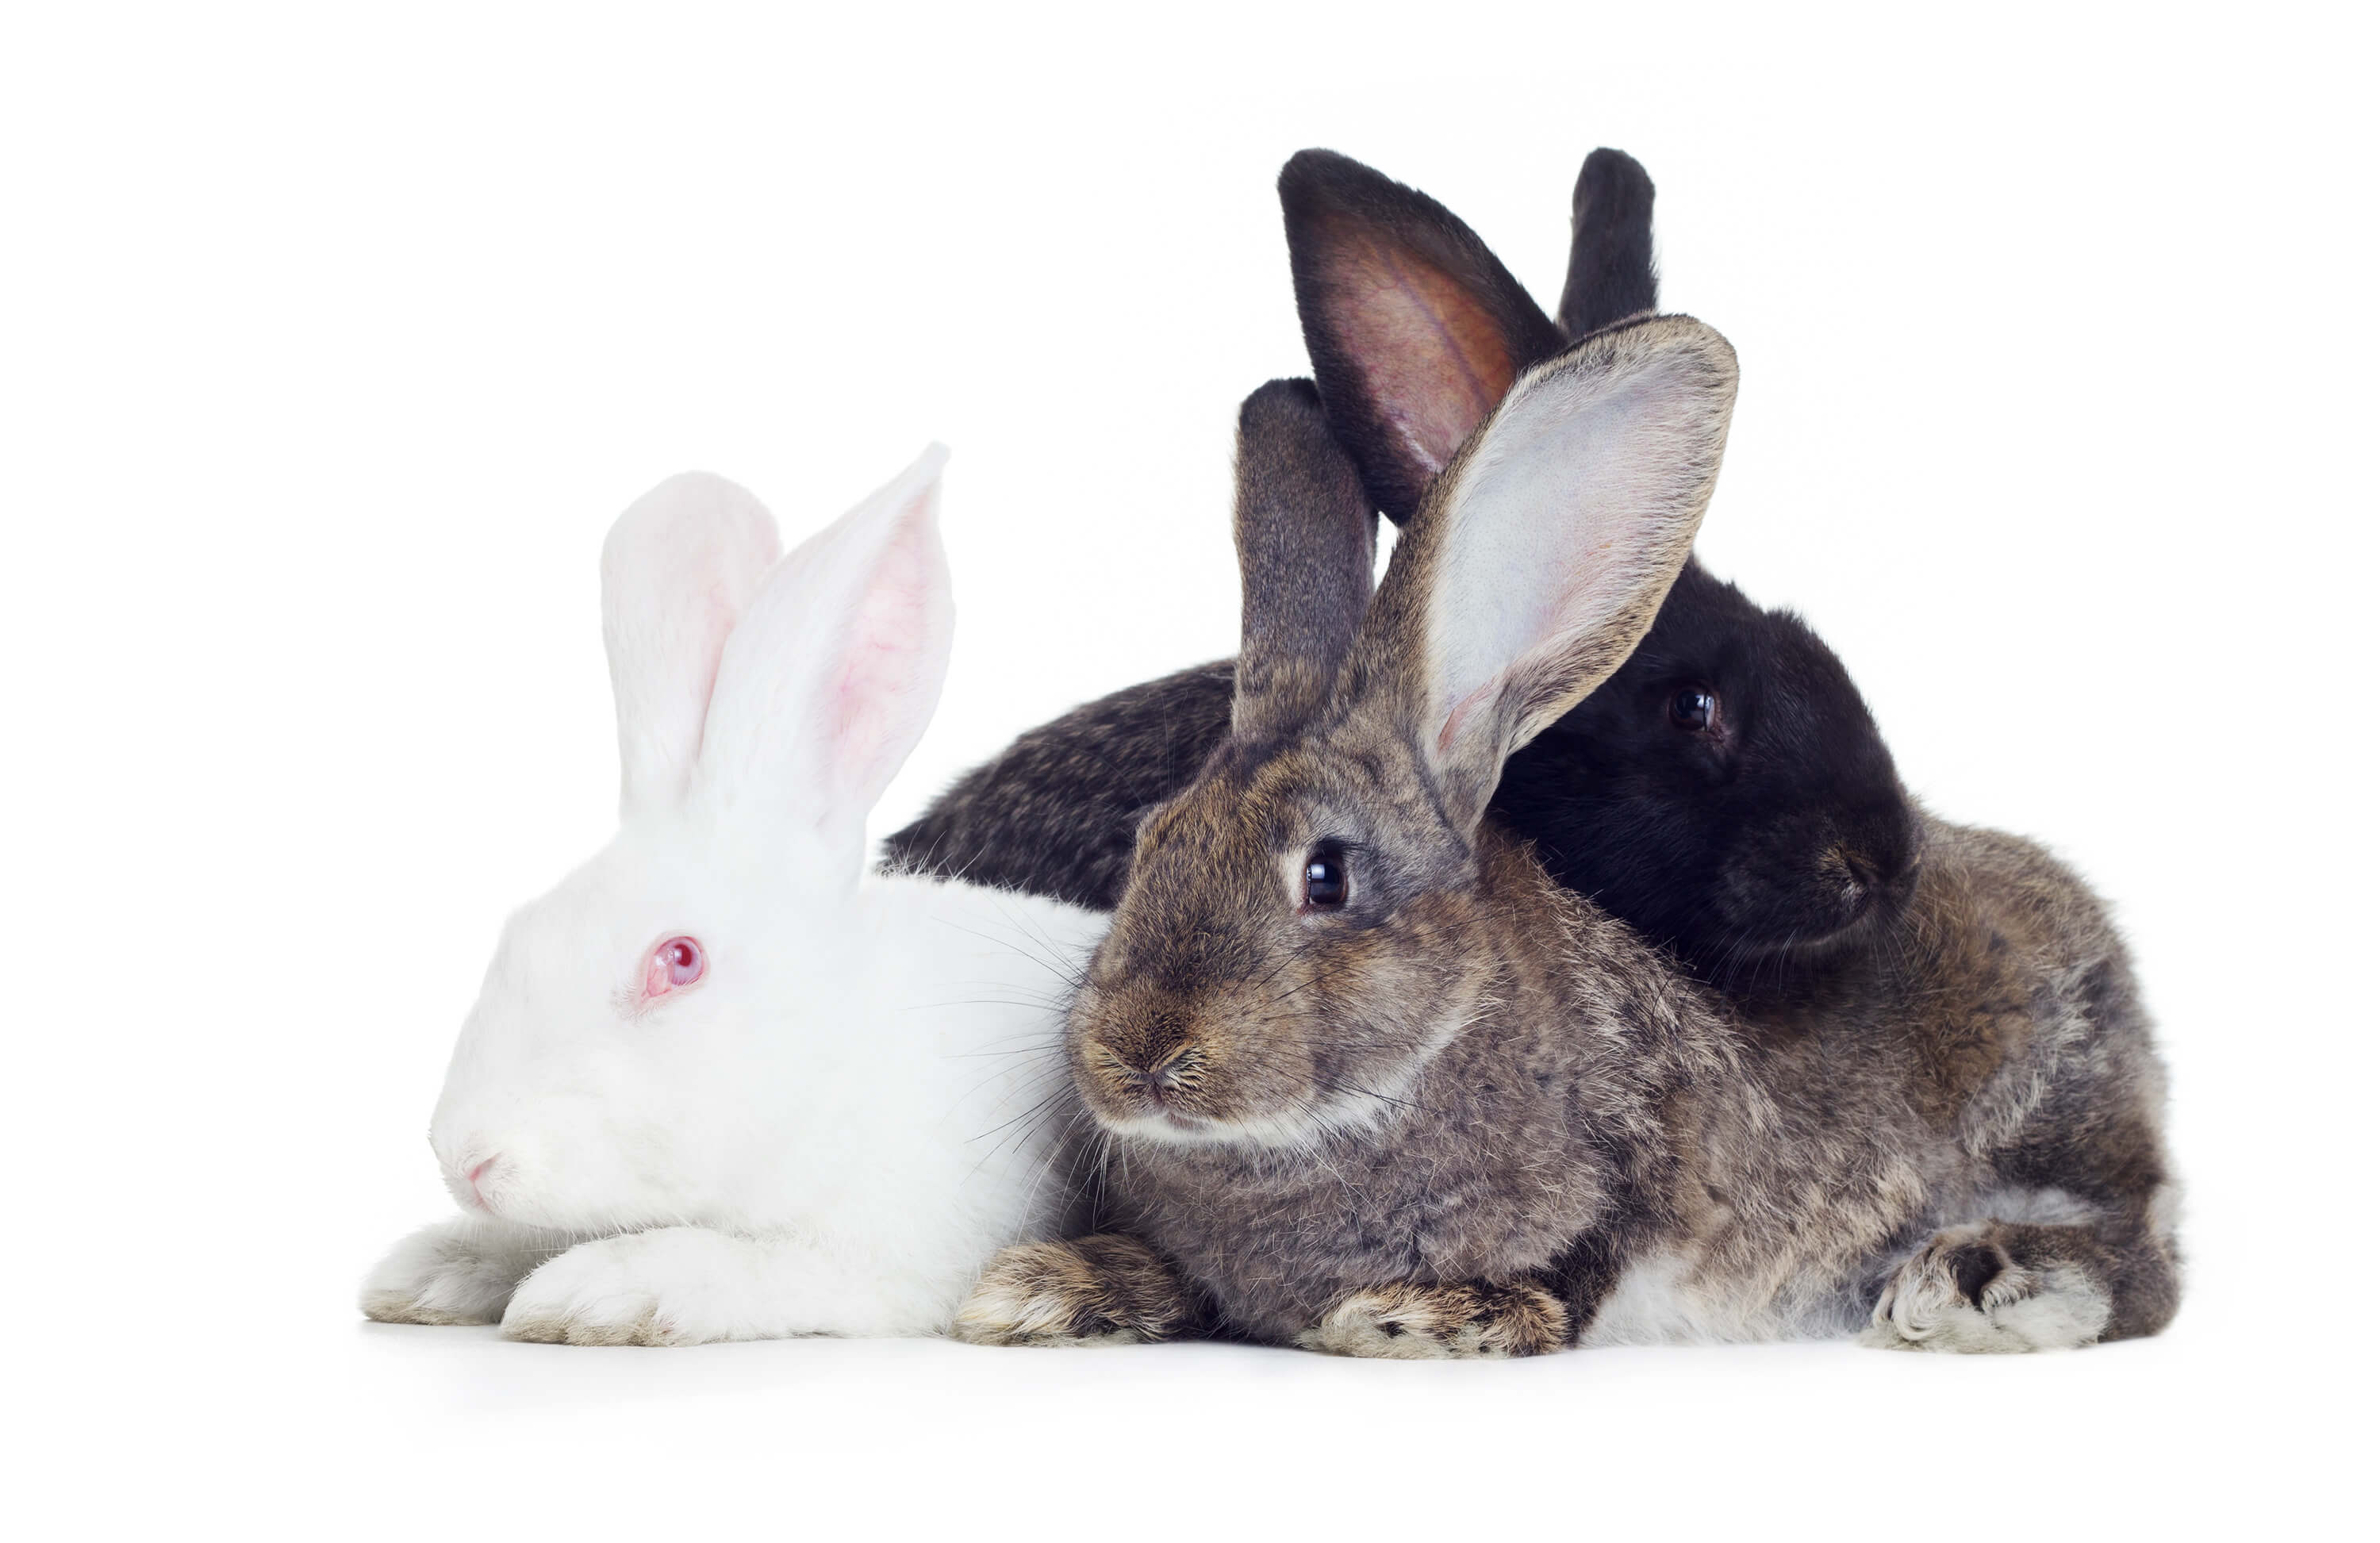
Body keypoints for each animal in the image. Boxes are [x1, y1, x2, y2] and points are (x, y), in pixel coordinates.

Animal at [361, 450, 1111, 1346]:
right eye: (517, 931)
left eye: (680, 960)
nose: (468, 1159)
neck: (839, 1056)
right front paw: (430, 1270)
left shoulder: (884, 1259)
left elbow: (740, 1265)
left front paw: (590, 1294)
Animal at [950, 314, 2180, 1357]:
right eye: (1147, 846)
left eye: (1327, 877)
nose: (1144, 1056)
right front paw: (1045, 1290)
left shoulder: (1652, 1159)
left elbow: (1585, 1264)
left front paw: (1426, 1317)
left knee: (2150, 1254)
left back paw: (1977, 1279)